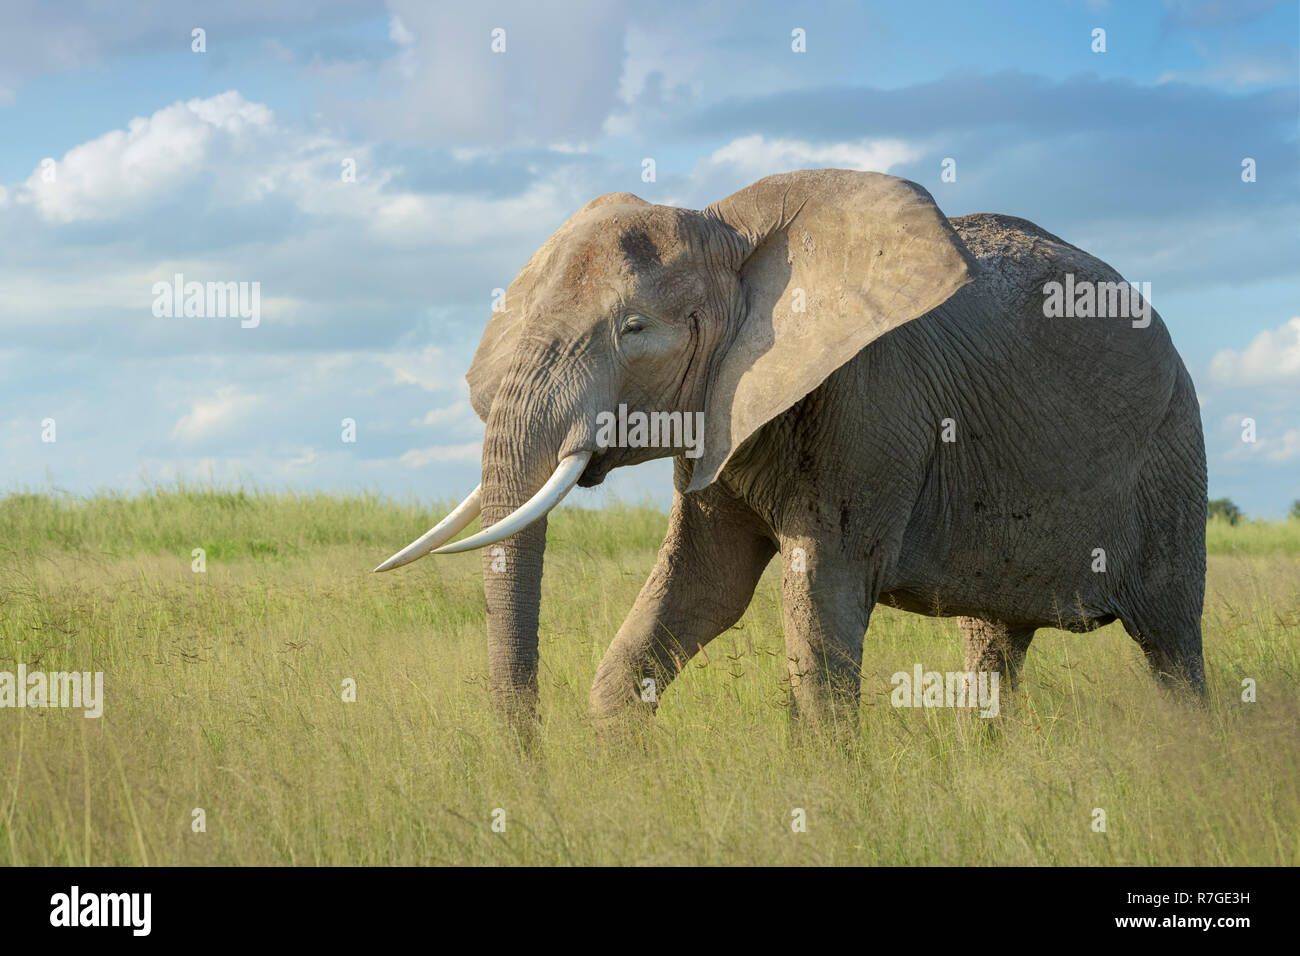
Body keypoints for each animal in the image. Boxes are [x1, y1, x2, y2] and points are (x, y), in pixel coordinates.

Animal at [376, 168, 1207, 735]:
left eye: (635, 329)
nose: (531, 765)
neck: (732, 231)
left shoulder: (869, 406)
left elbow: (820, 609)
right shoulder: (724, 411)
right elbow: (703, 588)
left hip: (1173, 450)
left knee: (1171, 643)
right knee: (995, 642)